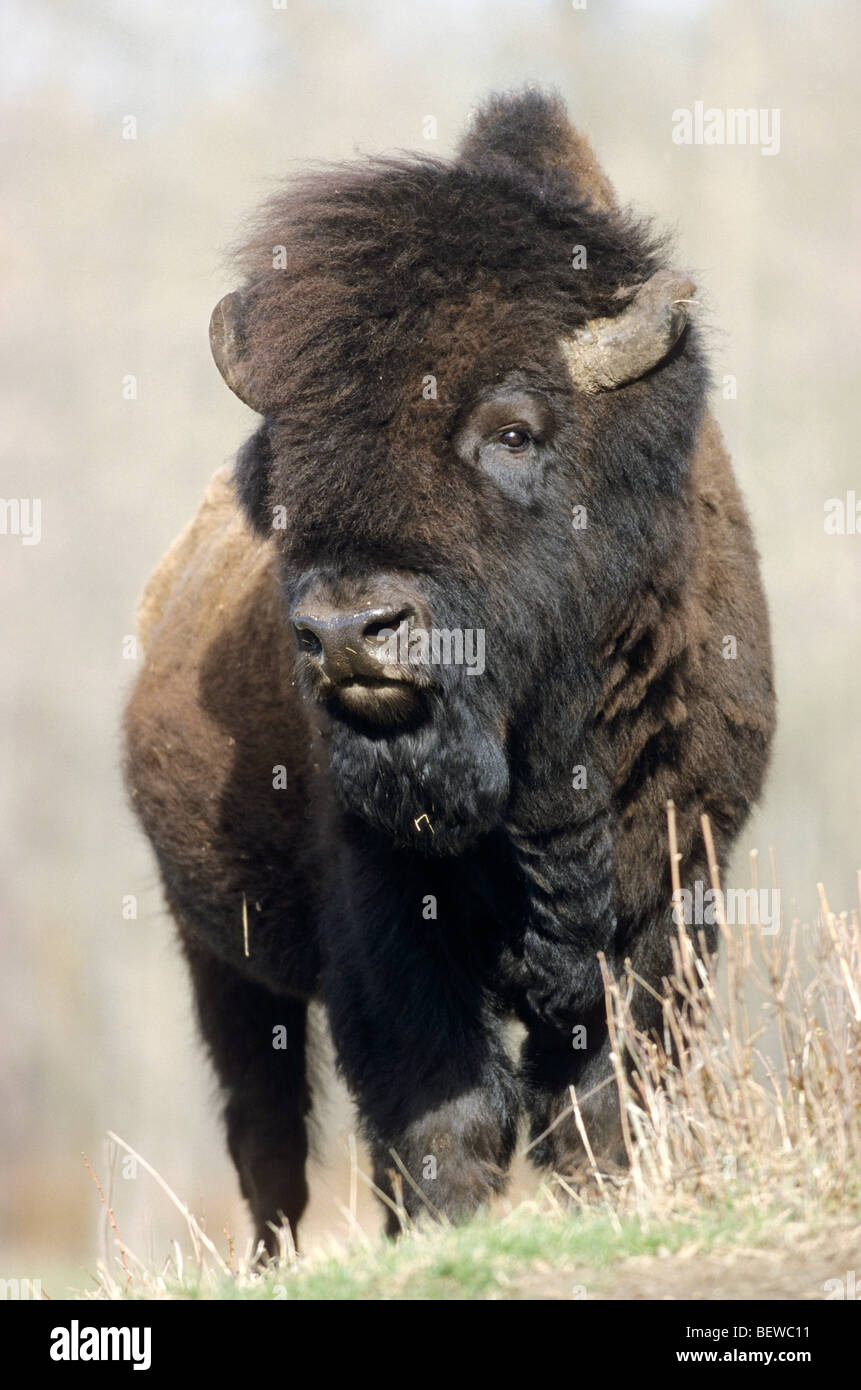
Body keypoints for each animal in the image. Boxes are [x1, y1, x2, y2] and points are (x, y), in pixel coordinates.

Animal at [124, 89, 775, 1249]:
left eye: (513, 431)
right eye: (291, 452)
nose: (350, 631)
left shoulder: (674, 897)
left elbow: (602, 1110)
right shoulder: (386, 924)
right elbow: (446, 1116)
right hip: (219, 958)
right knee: (267, 1139)